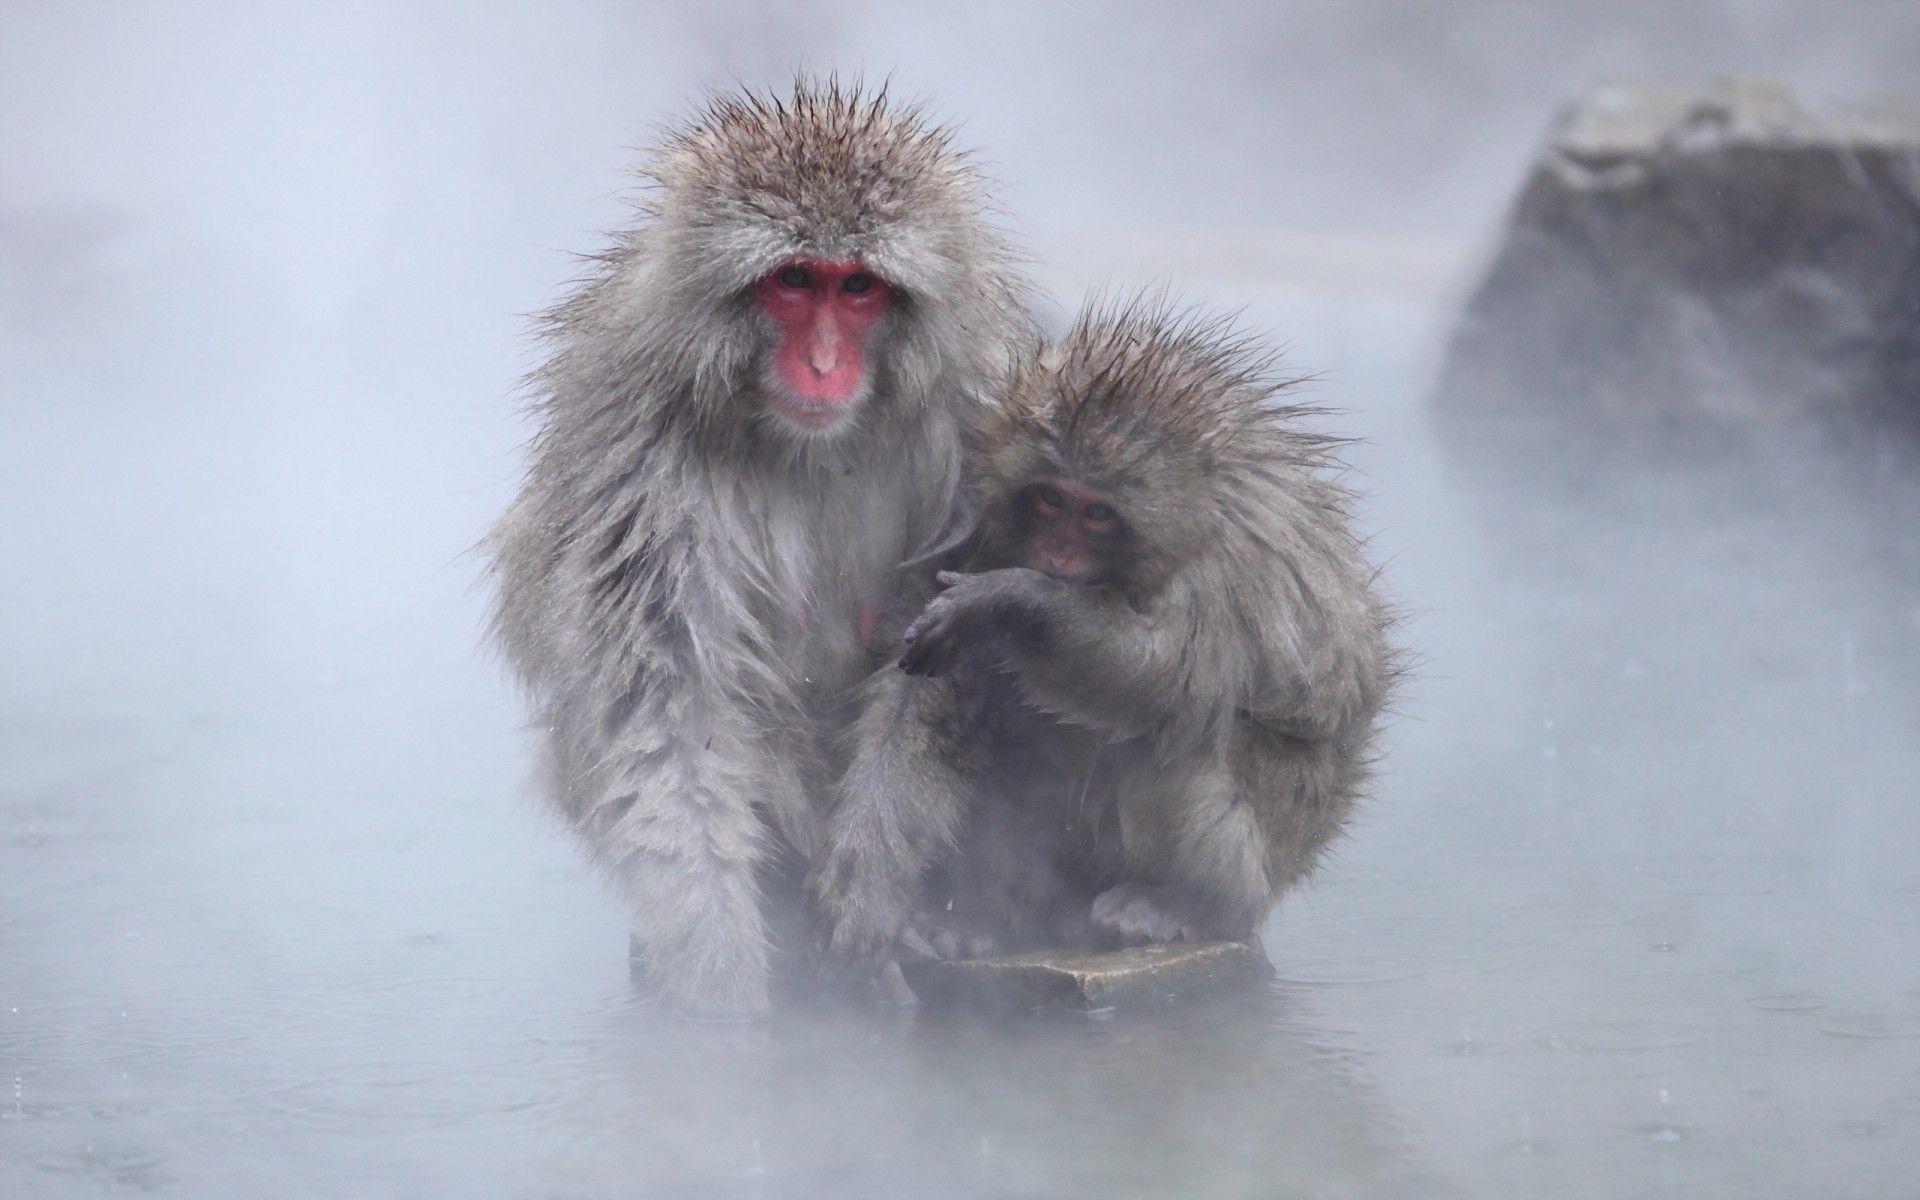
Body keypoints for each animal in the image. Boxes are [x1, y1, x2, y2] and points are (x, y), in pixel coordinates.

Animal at [487, 80, 1031, 1016]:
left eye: (858, 287)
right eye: (792, 281)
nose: (822, 364)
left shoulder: (980, 424)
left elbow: (958, 638)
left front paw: (872, 867)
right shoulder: (638, 454)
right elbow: (666, 709)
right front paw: (718, 979)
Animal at [813, 297, 1396, 968]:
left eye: (1096, 513)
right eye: (1049, 500)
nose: (1058, 554)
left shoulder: (1225, 559)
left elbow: (1167, 676)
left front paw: (1010, 600)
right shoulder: (976, 518)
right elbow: (930, 686)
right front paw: (866, 875)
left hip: (1262, 849)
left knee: (1169, 732)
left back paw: (1189, 905)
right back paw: (993, 915)